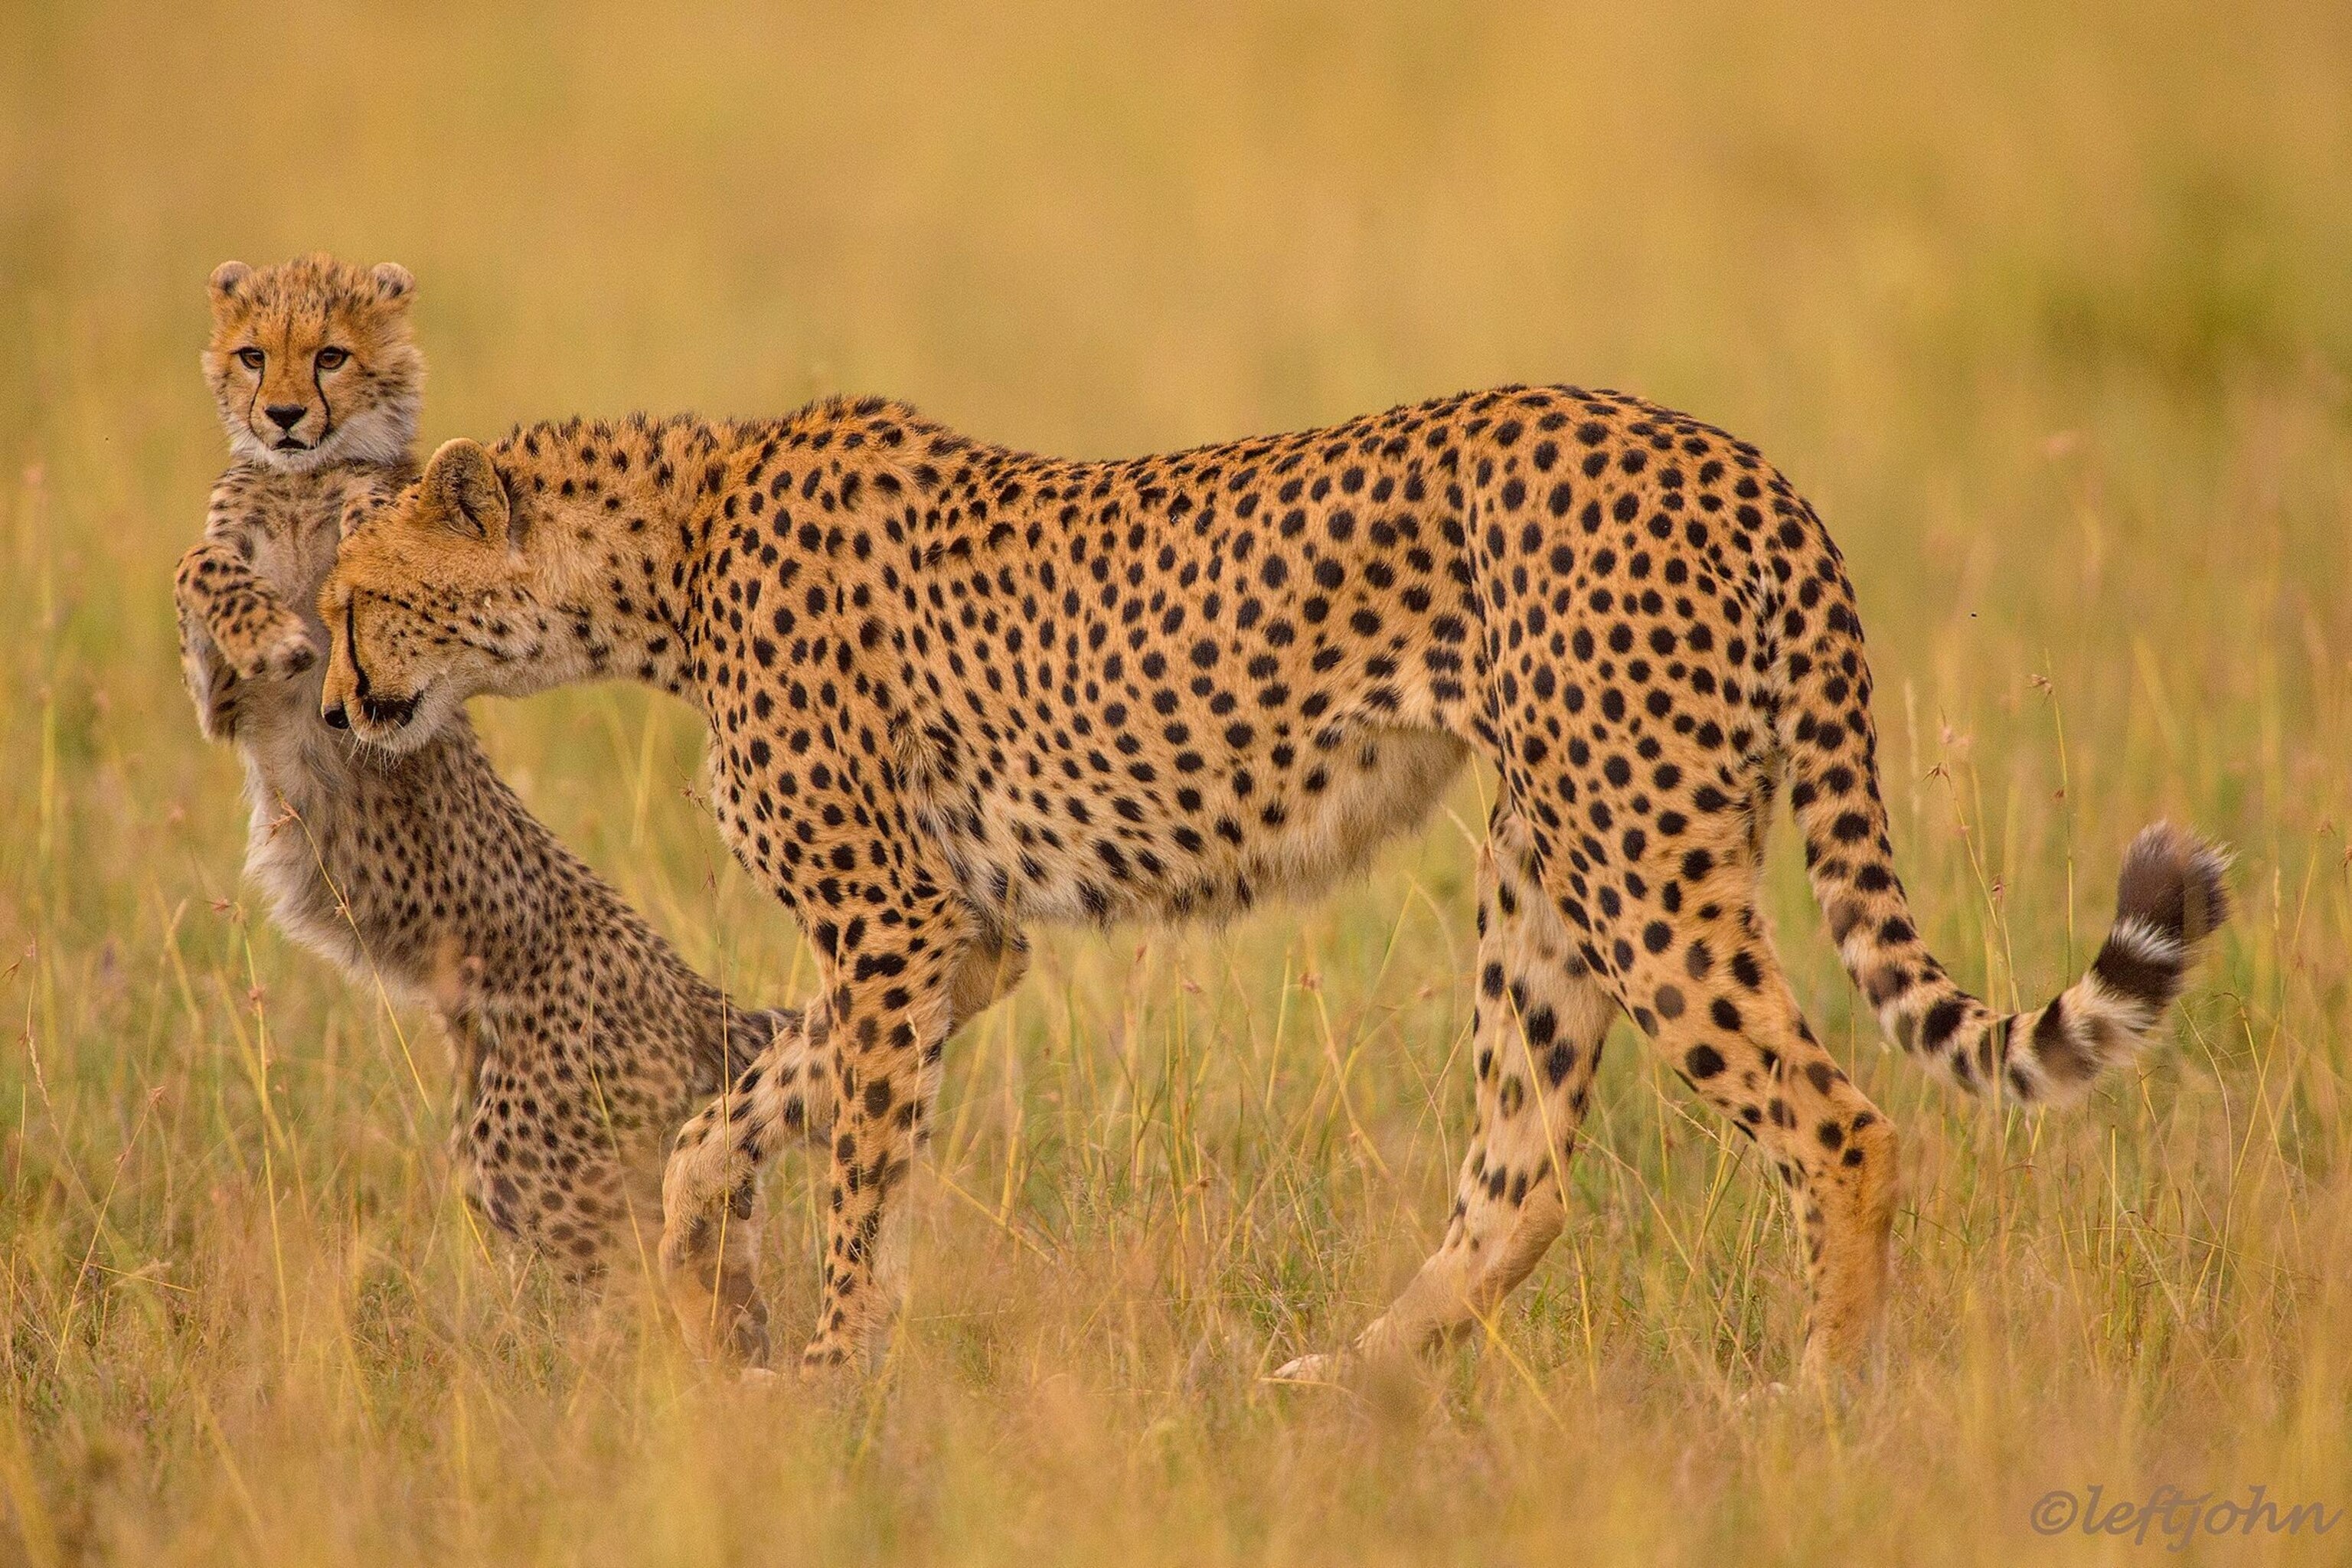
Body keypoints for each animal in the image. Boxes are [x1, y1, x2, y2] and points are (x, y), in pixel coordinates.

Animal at [175, 254, 832, 1305]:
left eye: (331, 356)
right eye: (251, 354)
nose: (281, 415)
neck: (302, 483)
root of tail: (693, 992)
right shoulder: (229, 699)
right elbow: (202, 567)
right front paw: (259, 618)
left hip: (549, 1163)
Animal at [313, 385, 2231, 1382]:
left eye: (354, 601)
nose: (327, 704)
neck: (672, 540)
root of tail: (1738, 458)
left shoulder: (899, 932)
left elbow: (855, 1171)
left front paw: (836, 1385)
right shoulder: (966, 941)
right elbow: (742, 1112)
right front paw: (709, 1274)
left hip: (1643, 864)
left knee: (1845, 1126)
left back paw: (1812, 1400)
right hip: (1547, 867)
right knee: (1520, 1176)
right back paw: (1342, 1387)